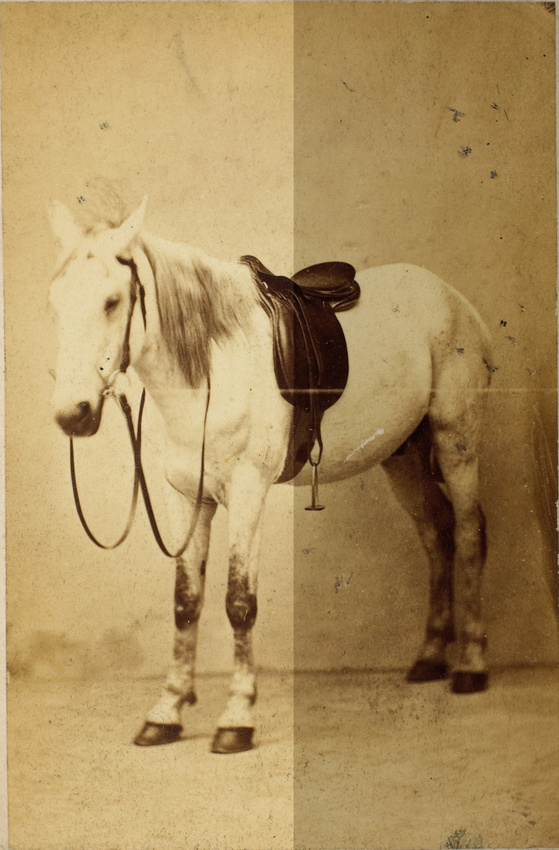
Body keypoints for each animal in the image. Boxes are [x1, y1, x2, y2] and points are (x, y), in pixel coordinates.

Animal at [48, 195, 492, 754]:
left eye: (111, 301)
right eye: (56, 301)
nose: (73, 414)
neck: (211, 366)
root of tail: (453, 297)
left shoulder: (246, 492)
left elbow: (239, 602)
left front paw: (236, 718)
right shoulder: (185, 498)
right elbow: (185, 602)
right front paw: (167, 712)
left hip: (457, 443)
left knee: (471, 534)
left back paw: (471, 666)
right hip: (402, 457)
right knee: (437, 535)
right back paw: (430, 657)